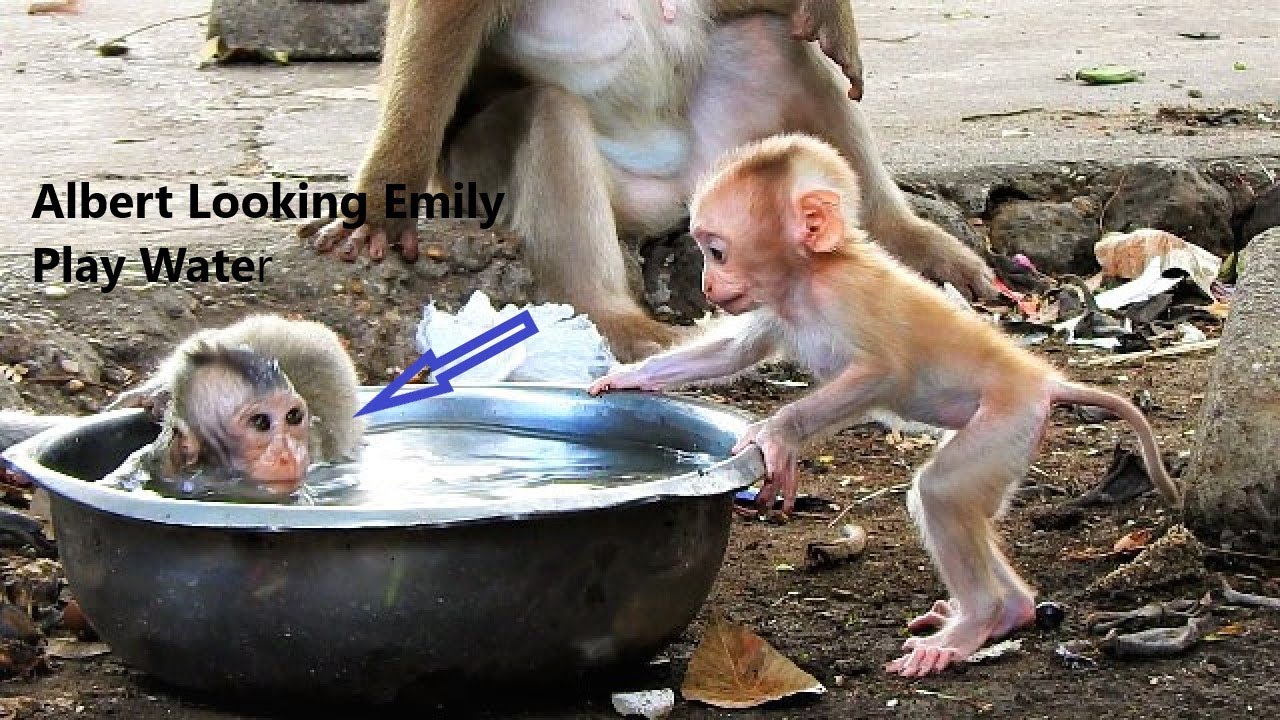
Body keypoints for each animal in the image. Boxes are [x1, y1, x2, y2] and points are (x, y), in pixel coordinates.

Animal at [304, 0, 994, 362]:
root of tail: (677, 197)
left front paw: (831, 13)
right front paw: (382, 203)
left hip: (722, 153)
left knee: (769, 39)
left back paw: (899, 237)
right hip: (520, 178)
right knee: (549, 110)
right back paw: (616, 318)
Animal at [588, 134, 1181, 677]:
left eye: (715, 250)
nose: (709, 285)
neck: (809, 277)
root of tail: (1045, 382)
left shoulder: (846, 296)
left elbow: (883, 373)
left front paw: (777, 435)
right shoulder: (777, 306)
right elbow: (733, 350)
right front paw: (626, 377)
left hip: (1008, 418)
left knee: (943, 492)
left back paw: (976, 621)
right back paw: (1012, 611)